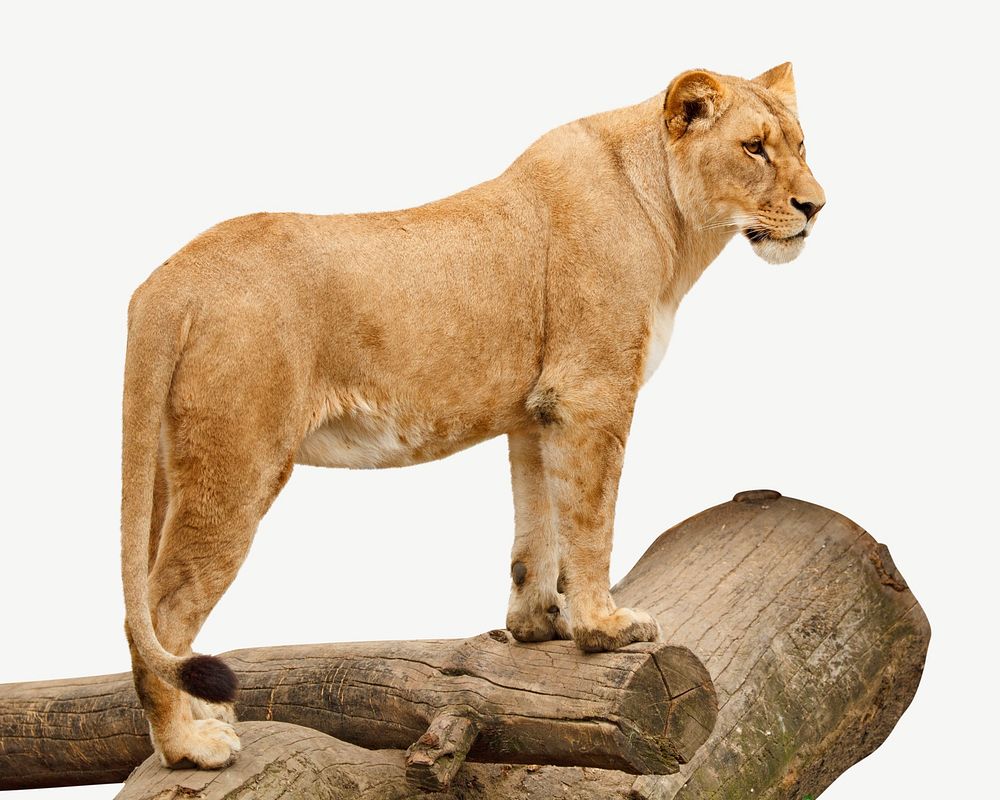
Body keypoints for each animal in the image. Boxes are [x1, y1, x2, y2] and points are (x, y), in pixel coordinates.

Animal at [121, 62, 825, 768]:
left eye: (800, 146)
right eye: (753, 148)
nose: (815, 206)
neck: (674, 221)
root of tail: (167, 283)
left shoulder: (537, 412)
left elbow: (538, 524)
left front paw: (538, 625)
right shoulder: (591, 393)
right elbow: (590, 522)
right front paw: (605, 628)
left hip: (166, 473)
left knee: (144, 607)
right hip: (238, 466)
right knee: (161, 611)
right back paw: (189, 746)